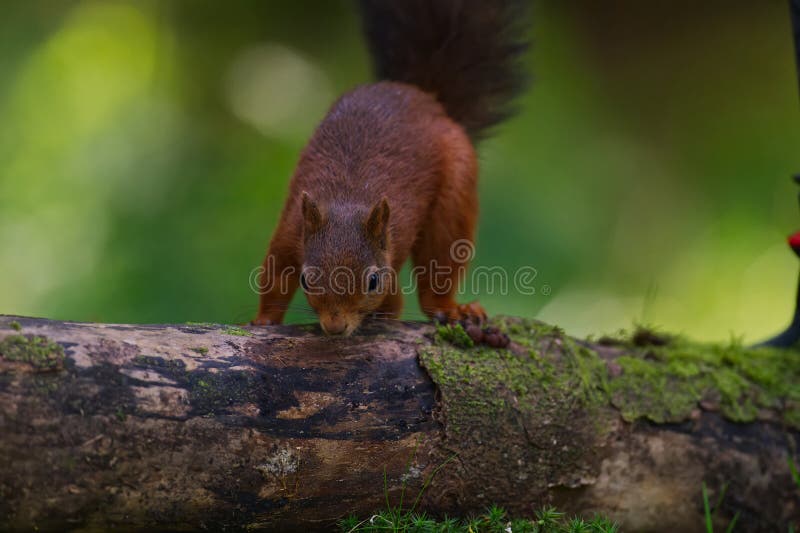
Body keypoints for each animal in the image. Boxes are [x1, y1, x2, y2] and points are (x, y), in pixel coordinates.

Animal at [252, 0, 528, 336]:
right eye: (306, 279)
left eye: (373, 281)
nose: (335, 327)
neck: (347, 199)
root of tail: (422, 97)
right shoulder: (293, 228)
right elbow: (275, 276)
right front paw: (264, 320)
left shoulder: (390, 262)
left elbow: (394, 300)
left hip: (456, 187)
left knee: (440, 263)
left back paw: (451, 309)